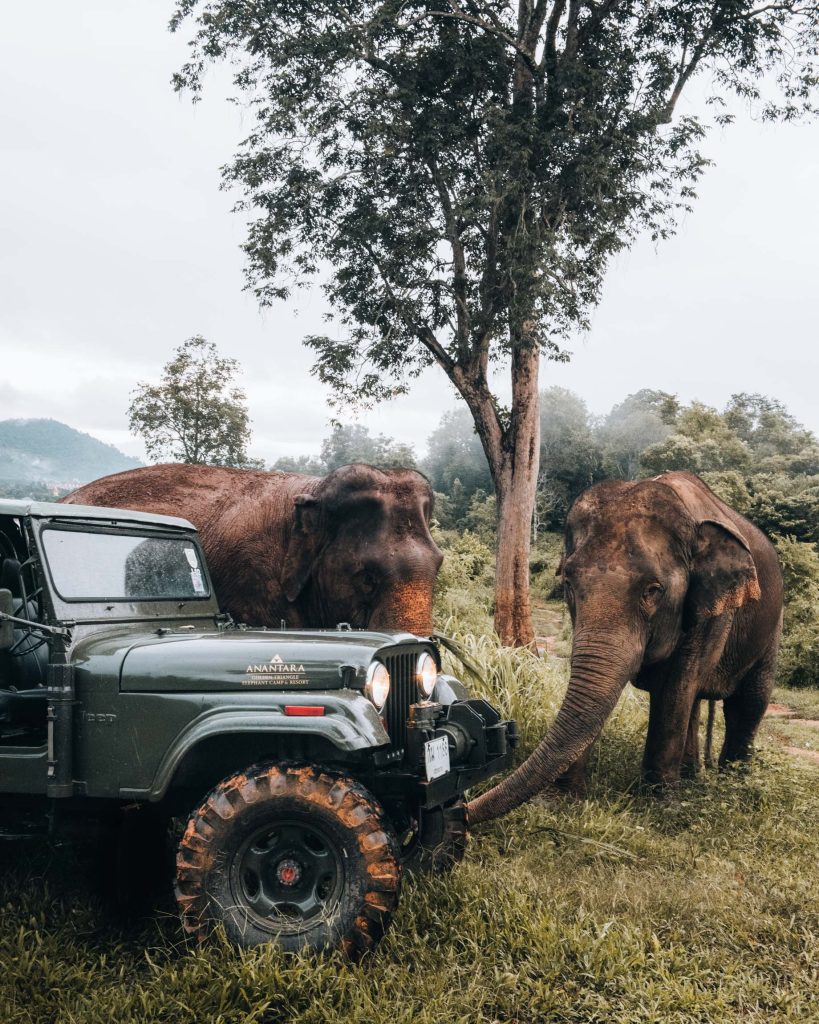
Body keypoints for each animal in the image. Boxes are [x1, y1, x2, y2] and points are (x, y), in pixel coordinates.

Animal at [468, 471, 784, 823]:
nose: (464, 809)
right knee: (695, 704)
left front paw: (661, 806)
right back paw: (692, 781)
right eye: (568, 584)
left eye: (653, 590)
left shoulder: (712, 613)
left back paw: (732, 785)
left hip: (772, 626)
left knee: (747, 701)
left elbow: (674, 688)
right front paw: (560, 802)